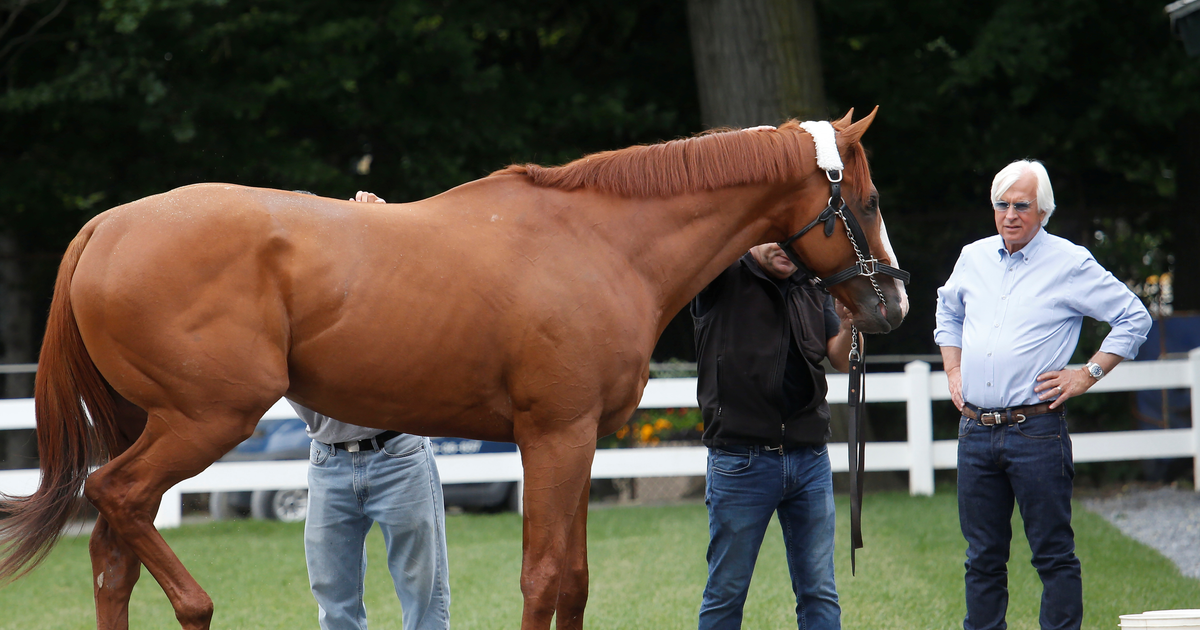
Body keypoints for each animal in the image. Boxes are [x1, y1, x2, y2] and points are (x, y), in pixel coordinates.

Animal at [0, 109, 906, 629]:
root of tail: (107, 227)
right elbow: (544, 579)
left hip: (152, 423)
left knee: (111, 556)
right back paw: (196, 604)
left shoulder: (579, 442)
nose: (892, 305)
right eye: (864, 203)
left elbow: (574, 582)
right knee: (116, 499)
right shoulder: (555, 435)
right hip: (205, 420)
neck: (600, 242)